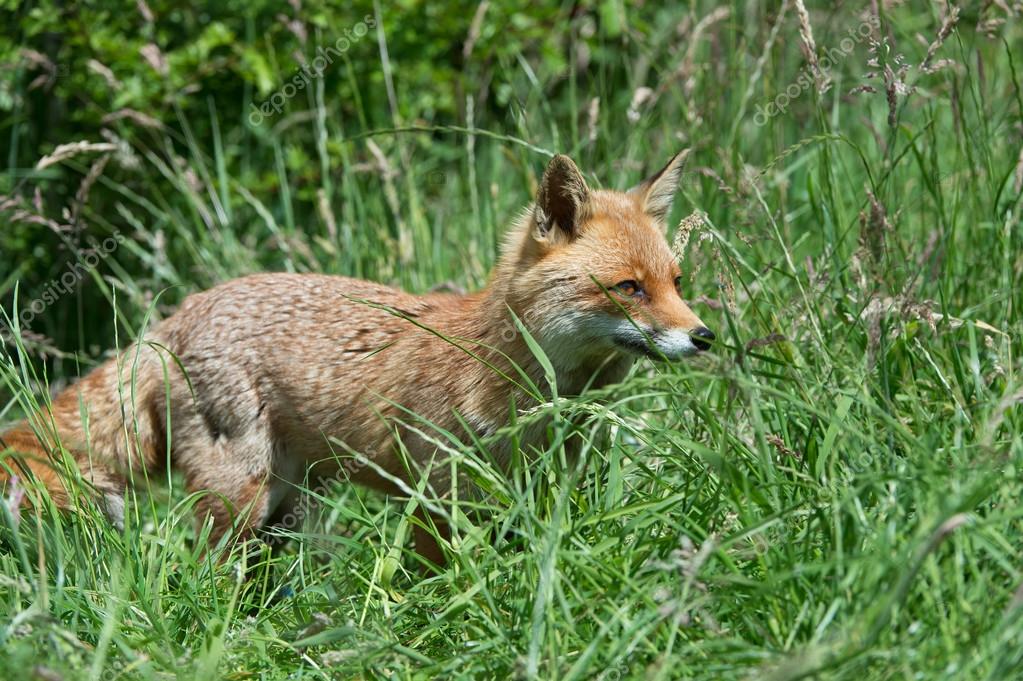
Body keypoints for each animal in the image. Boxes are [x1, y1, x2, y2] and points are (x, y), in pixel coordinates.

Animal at [0, 150, 714, 566]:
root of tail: (181, 310)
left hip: (287, 506)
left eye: (677, 282)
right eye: (629, 288)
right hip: (243, 498)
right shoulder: (437, 495)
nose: (704, 337)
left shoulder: (533, 493)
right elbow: (443, 576)